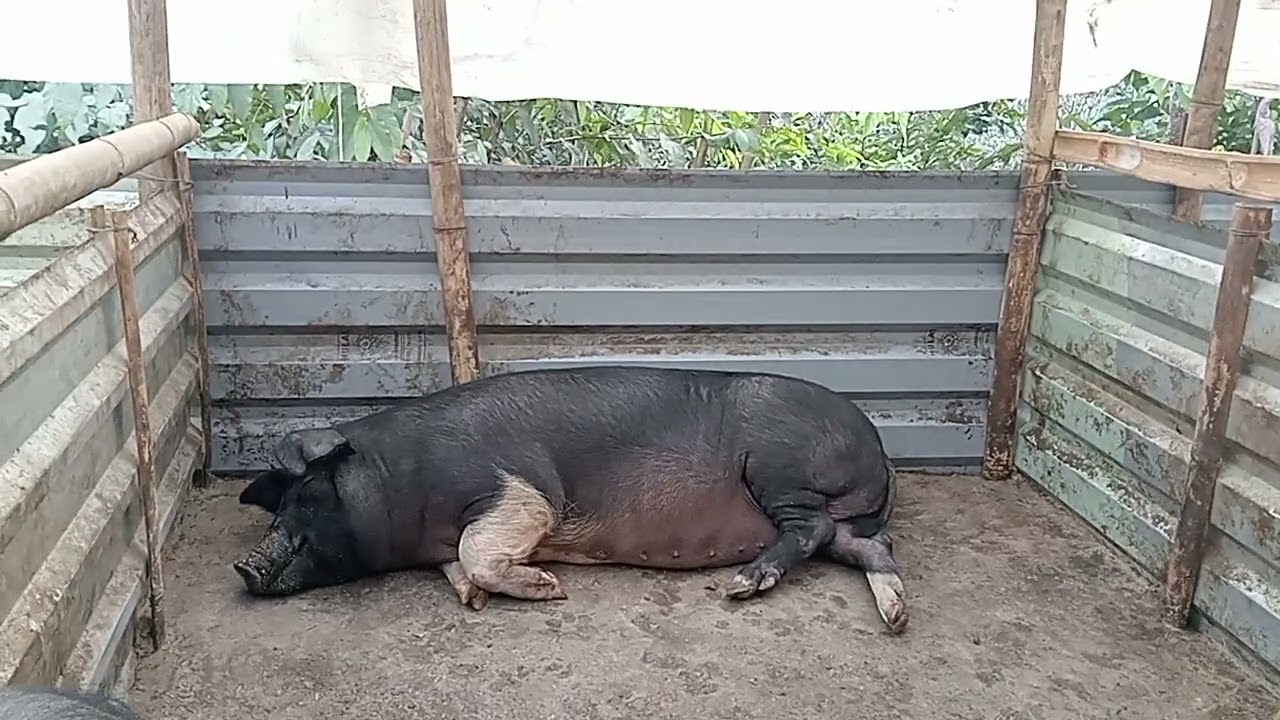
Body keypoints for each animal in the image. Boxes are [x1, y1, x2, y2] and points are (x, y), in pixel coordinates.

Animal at [233, 365, 908, 633]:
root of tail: (877, 446)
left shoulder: (518, 487)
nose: (244, 564)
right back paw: (896, 617)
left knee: (810, 531)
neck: (402, 477)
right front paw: (474, 599)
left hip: (780, 468)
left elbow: (479, 544)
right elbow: (458, 561)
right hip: (845, 522)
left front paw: (550, 590)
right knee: (873, 548)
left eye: (309, 491)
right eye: (280, 502)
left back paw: (741, 584)